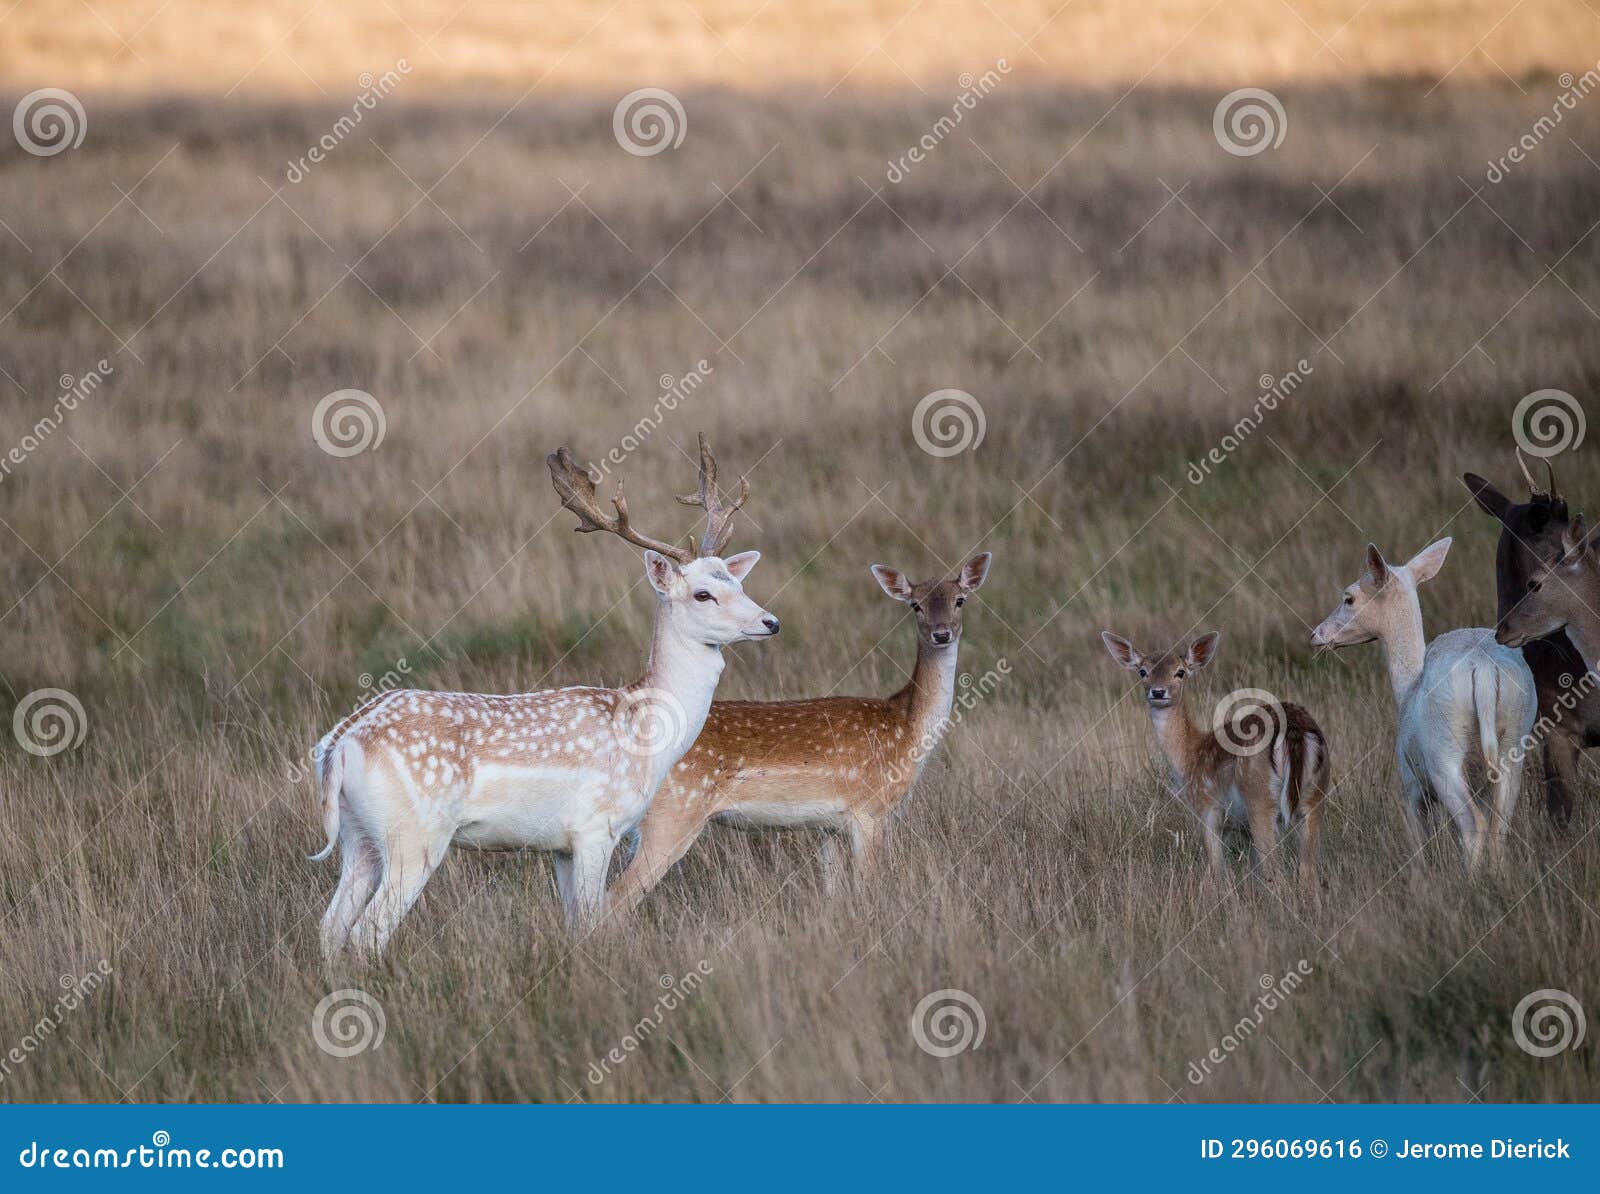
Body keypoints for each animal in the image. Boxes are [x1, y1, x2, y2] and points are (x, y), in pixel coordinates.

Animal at [309, 434, 779, 962]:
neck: (644, 729)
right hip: (414, 835)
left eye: (737, 582)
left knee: (330, 926)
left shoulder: (559, 847)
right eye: (702, 594)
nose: (770, 622)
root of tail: (340, 746)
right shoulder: (596, 828)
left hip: (358, 838)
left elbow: (574, 924)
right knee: (367, 932)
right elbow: (594, 921)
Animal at [606, 553, 993, 915]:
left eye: (960, 599)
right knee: (614, 899)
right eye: (916, 605)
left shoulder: (828, 826)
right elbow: (869, 888)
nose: (941, 634)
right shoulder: (870, 810)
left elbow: (833, 890)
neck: (907, 729)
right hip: (671, 817)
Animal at [1100, 629, 1329, 889]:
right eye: (1142, 671)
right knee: (1308, 873)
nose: (1158, 692)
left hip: (1259, 796)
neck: (1188, 757)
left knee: (1276, 874)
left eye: (1180, 672)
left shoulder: (1205, 805)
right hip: (1316, 794)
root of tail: (1297, 729)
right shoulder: (1239, 826)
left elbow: (1217, 870)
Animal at [1309, 537, 1536, 869]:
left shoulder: (1410, 783)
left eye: (1348, 598)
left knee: (1473, 826)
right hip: (1512, 743)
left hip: (1443, 755)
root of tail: (1482, 667)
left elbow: (1418, 843)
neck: (1406, 689)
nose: (1316, 635)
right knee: (1499, 829)